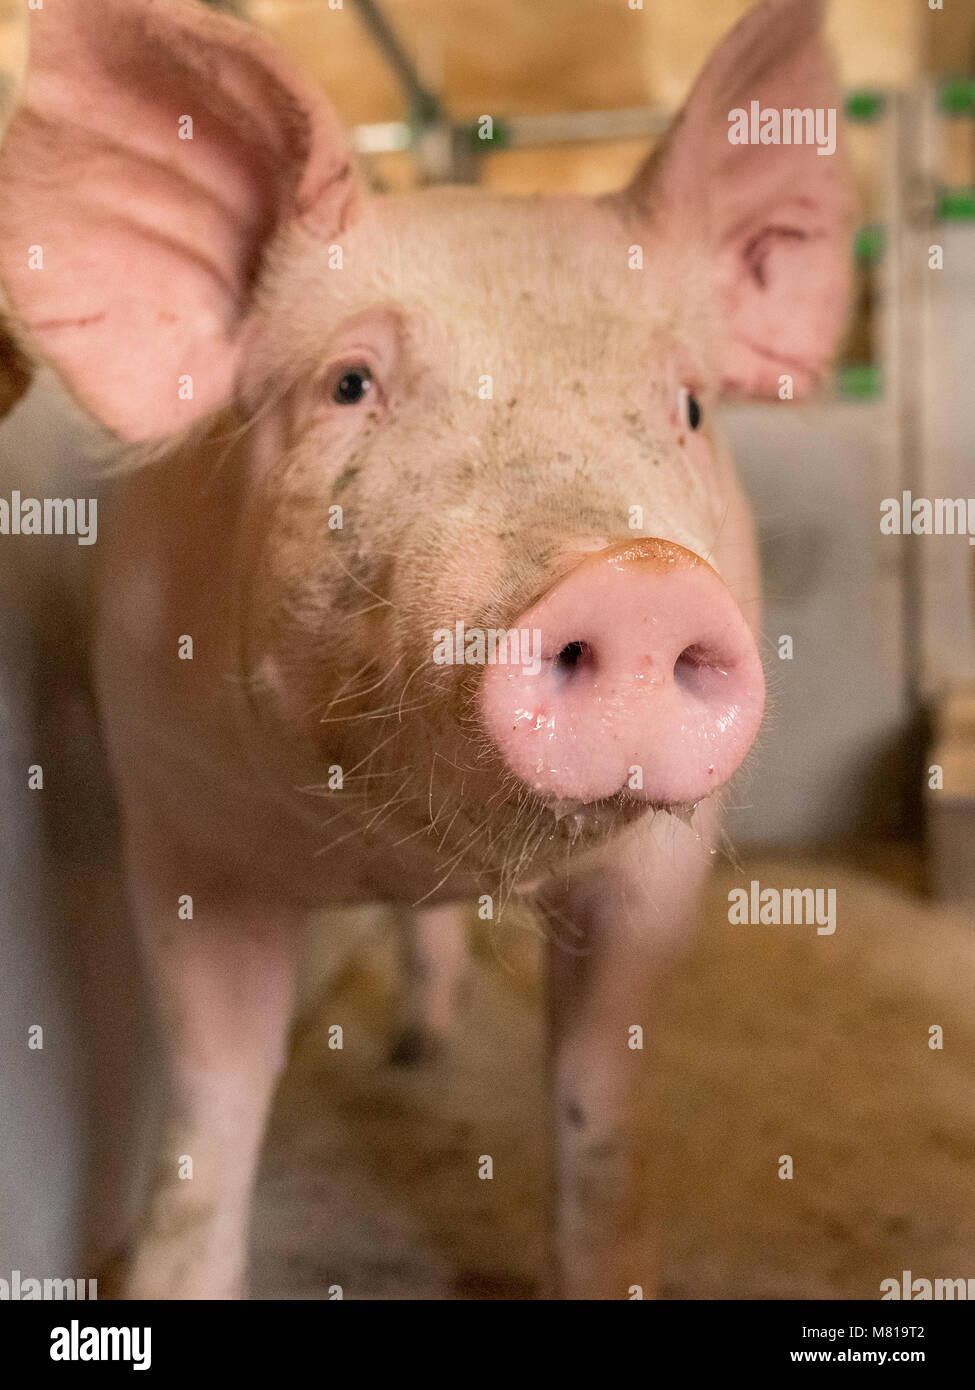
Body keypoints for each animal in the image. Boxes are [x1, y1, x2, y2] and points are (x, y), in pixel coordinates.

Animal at [0, 0, 850, 1299]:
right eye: (350, 383)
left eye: (692, 408)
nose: (638, 580)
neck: (386, 839)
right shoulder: (175, 821)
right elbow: (210, 1103)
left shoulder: (664, 862)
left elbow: (601, 1111)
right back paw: (412, 1047)